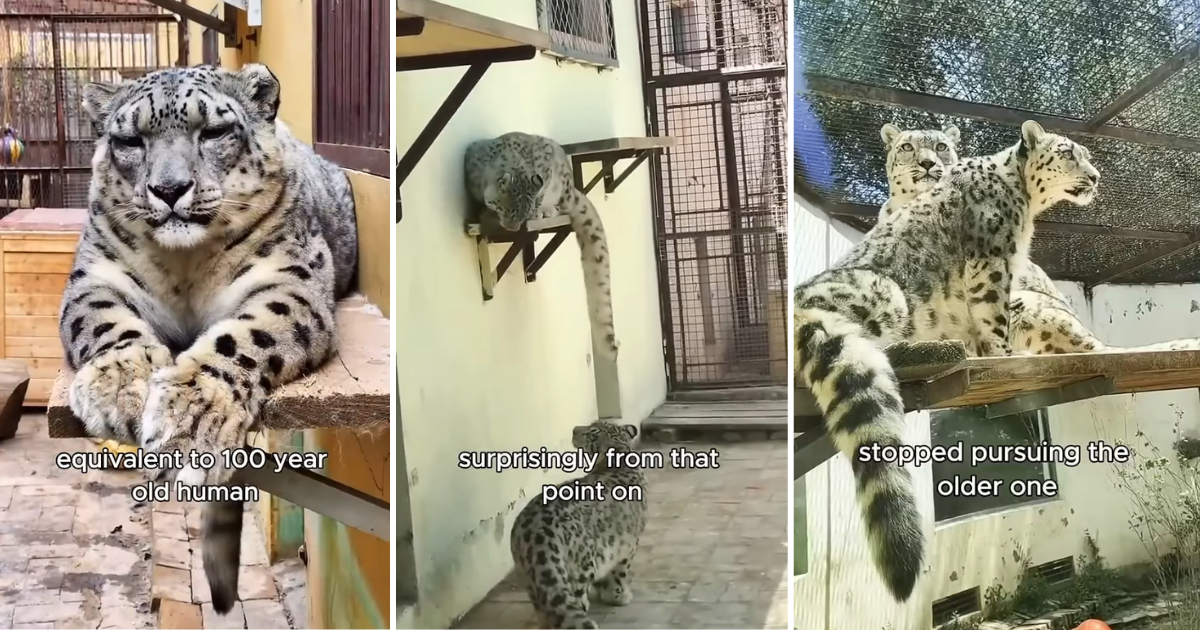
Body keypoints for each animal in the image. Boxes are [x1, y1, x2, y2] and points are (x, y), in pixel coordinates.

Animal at [60, 63, 357, 614]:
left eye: (215, 131)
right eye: (129, 140)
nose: (169, 188)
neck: (186, 269)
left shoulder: (290, 281)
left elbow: (247, 334)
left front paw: (192, 414)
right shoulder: (95, 276)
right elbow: (106, 320)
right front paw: (119, 388)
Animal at [464, 132, 619, 362]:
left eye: (524, 215)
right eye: (507, 210)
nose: (512, 228)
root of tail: (573, 189)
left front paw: (539, 211)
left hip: (564, 191)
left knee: (564, 204)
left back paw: (550, 210)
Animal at [509, 420, 647, 629]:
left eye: (593, 433)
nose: (574, 430)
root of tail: (536, 531)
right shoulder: (629, 545)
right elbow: (618, 573)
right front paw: (618, 595)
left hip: (529, 577)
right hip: (580, 570)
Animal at [796, 120, 1100, 601]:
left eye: (1085, 157)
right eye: (1069, 154)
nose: (1095, 177)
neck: (1025, 204)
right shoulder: (991, 263)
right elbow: (993, 317)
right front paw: (1003, 355)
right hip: (886, 293)